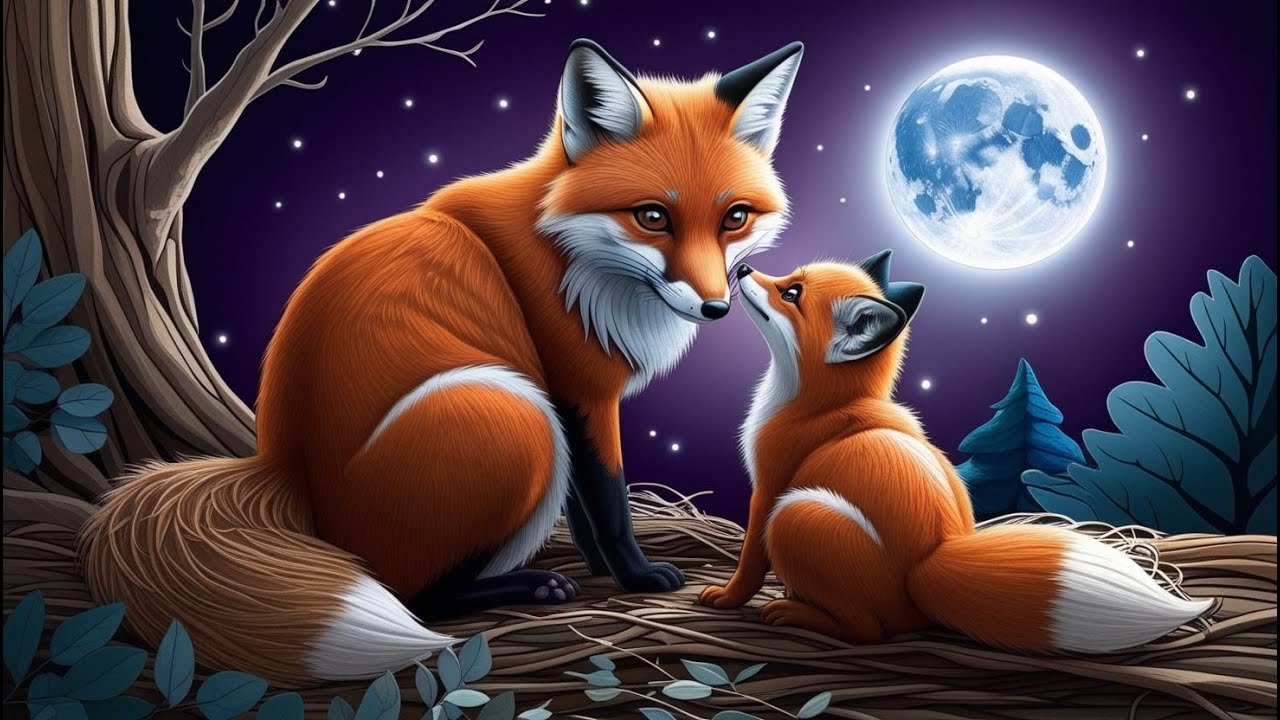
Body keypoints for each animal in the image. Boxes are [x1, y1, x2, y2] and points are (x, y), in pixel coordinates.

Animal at [78, 40, 804, 686]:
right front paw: (636, 576)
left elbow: (587, 510)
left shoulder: (567, 397)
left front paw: (604, 568)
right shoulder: (576, 390)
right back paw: (528, 587)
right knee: (411, 593)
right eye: (652, 216)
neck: (569, 255)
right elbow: (608, 498)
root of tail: (281, 465)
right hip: (511, 412)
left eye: (735, 217)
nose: (714, 307)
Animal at [699, 253, 1214, 652]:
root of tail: (930, 565)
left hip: (796, 515)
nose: (742, 267)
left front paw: (727, 597)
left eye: (791, 293)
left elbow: (749, 560)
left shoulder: (768, 488)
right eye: (789, 277)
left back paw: (796, 613)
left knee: (868, 631)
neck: (820, 404)